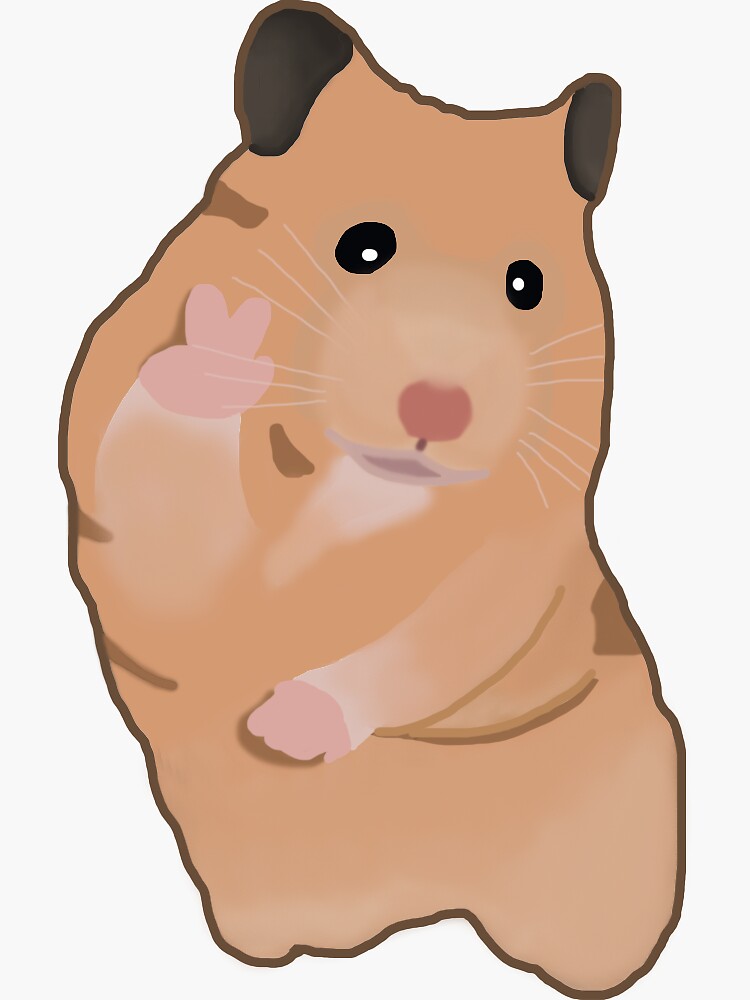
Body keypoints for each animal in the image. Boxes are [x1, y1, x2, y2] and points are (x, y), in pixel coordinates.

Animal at [61, 3, 684, 995]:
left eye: (527, 283)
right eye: (362, 246)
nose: (439, 408)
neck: (369, 482)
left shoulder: (521, 562)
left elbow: (431, 641)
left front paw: (286, 726)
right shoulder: (153, 527)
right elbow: (174, 505)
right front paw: (224, 345)